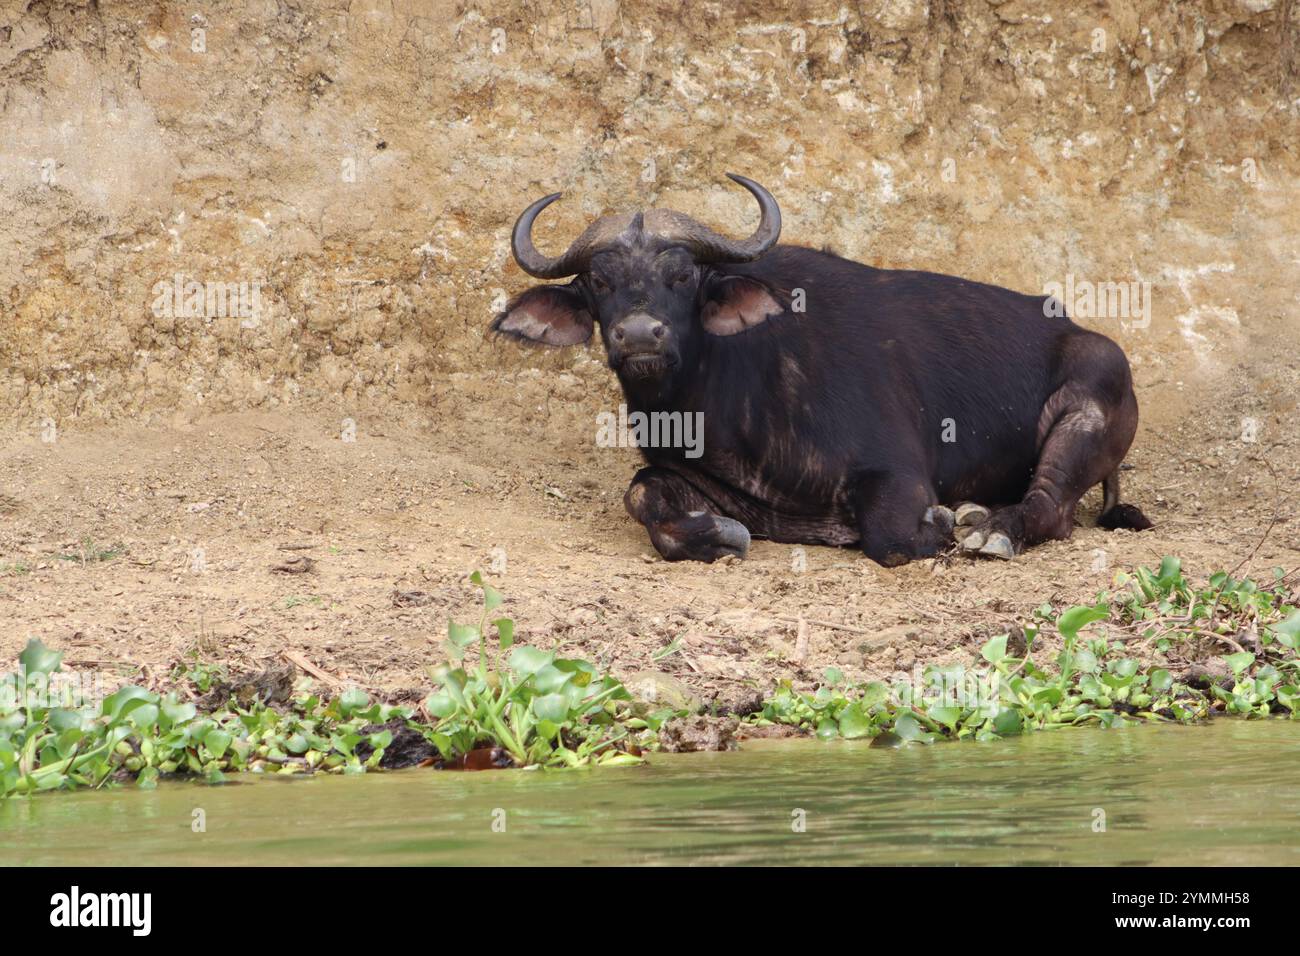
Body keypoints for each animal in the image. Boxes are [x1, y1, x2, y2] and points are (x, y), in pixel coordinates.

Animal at [492, 174, 1151, 566]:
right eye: (599, 283)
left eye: (682, 276)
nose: (637, 335)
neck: (723, 397)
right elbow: (642, 494)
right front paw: (711, 534)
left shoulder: (899, 475)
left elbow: (893, 535)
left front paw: (944, 522)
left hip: (1086, 408)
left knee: (1051, 507)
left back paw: (991, 527)